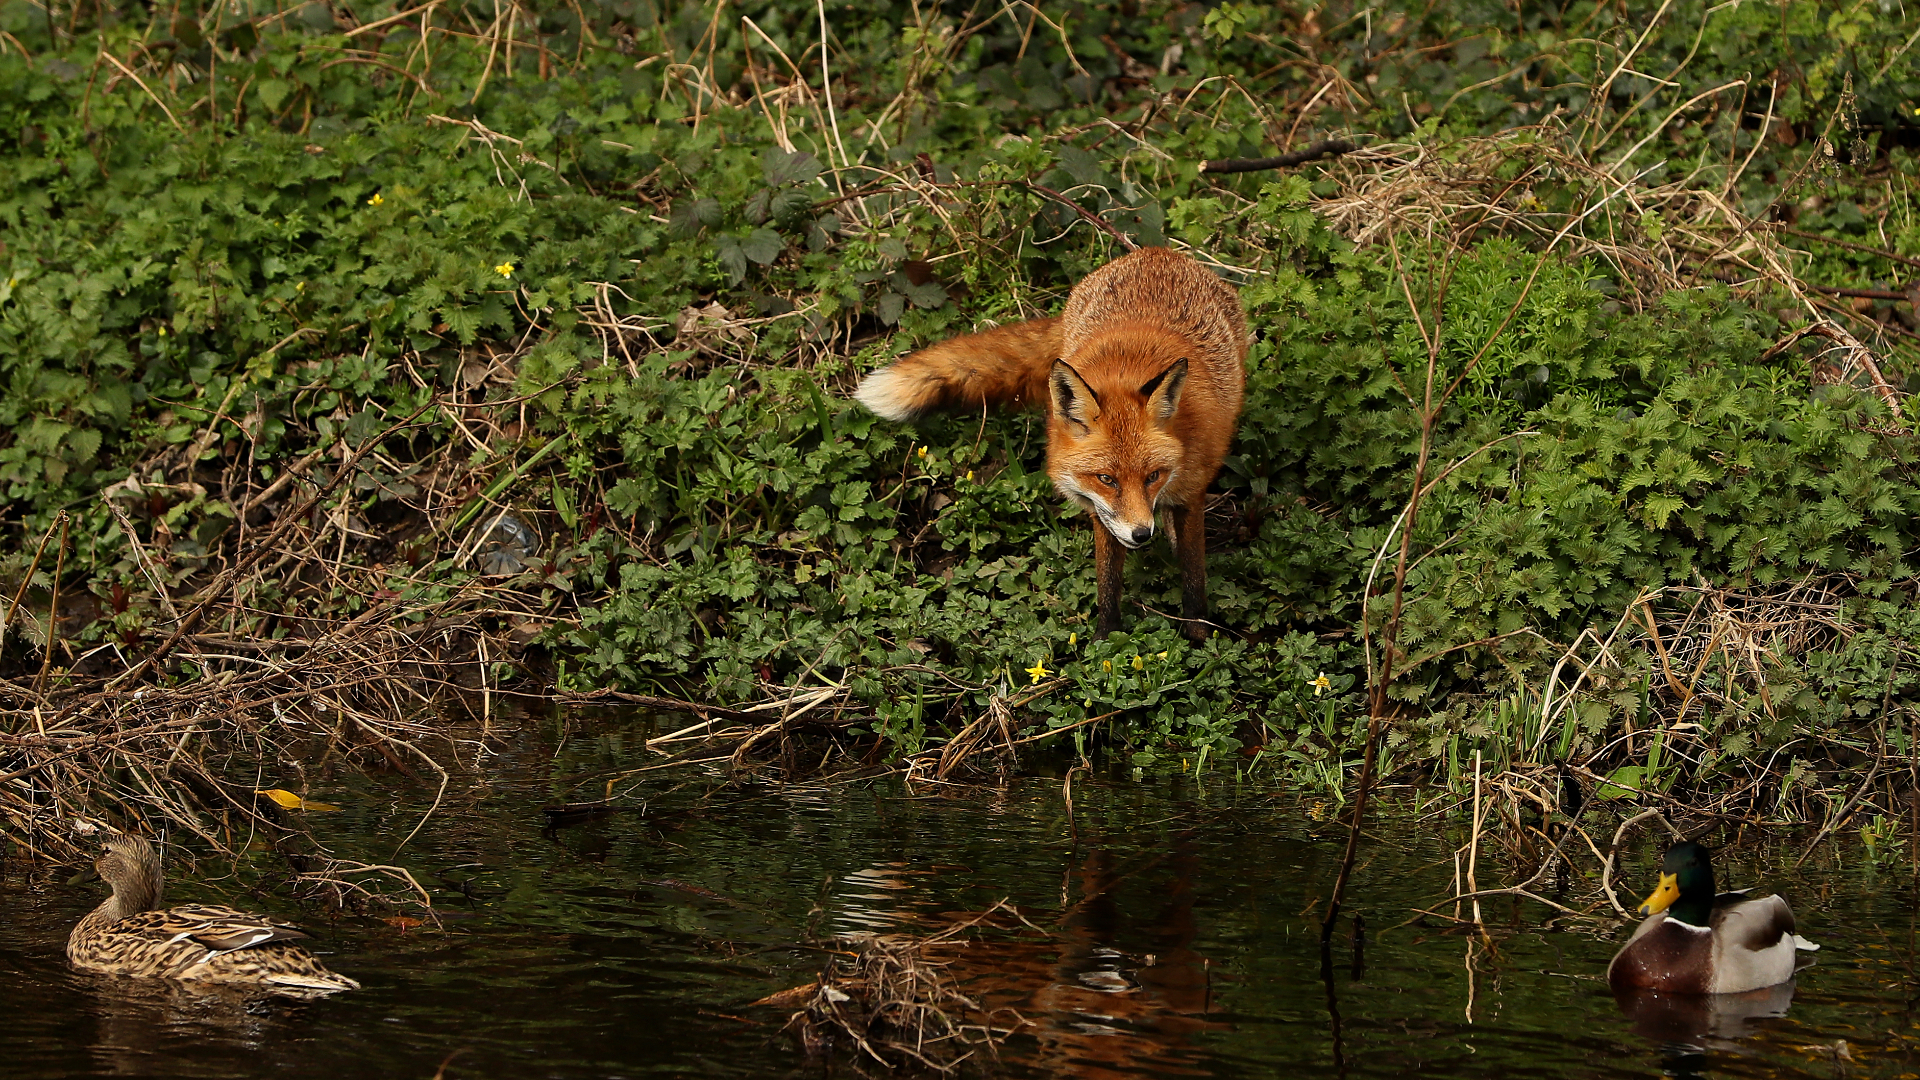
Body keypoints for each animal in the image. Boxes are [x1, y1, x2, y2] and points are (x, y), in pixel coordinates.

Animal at [853, 246, 1247, 641]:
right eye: (1106, 479)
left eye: (1153, 476)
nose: (1141, 534)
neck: (1127, 367)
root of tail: (1156, 252)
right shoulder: (1102, 511)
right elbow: (1108, 581)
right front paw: (1106, 639)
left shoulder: (1190, 495)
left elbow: (1194, 575)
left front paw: (1200, 637)